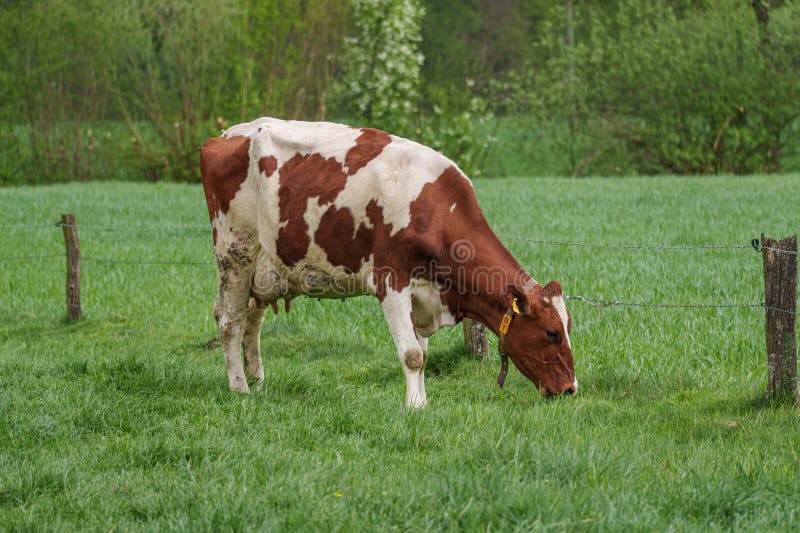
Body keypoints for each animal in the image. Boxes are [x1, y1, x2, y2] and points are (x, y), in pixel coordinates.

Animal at [199, 117, 577, 407]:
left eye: (567, 328)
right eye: (552, 332)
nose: (570, 389)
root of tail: (227, 134)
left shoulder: (425, 293)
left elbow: (423, 354)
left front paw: (422, 401)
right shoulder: (391, 282)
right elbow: (412, 354)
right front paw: (414, 407)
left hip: (266, 268)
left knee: (251, 322)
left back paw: (258, 380)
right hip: (235, 252)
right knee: (230, 322)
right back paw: (240, 388)